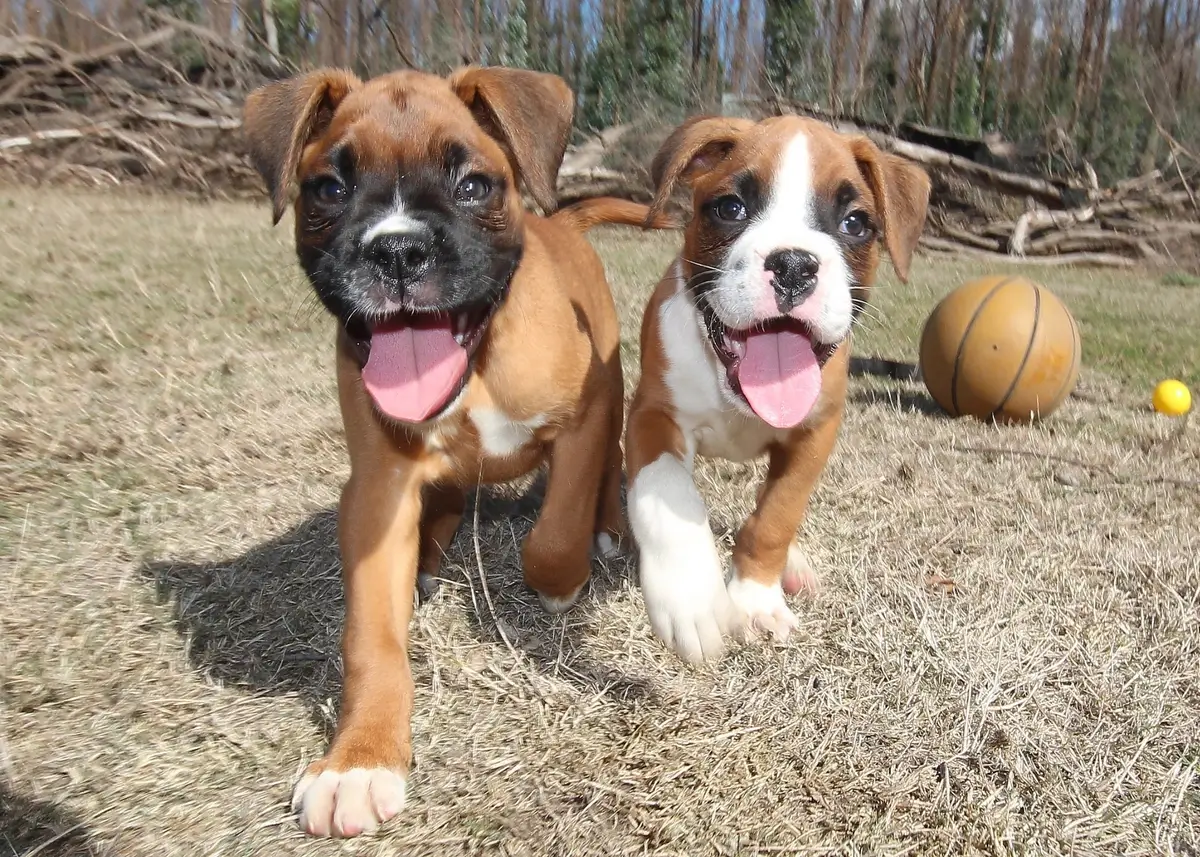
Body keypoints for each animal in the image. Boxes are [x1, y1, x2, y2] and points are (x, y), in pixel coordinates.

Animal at [242, 65, 672, 835]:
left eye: (473, 184)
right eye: (329, 188)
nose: (396, 250)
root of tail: (560, 221)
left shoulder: (585, 420)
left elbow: (553, 533)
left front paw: (562, 584)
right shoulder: (378, 491)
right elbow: (371, 640)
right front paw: (360, 760)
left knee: (600, 486)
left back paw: (605, 533)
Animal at [624, 113, 931, 662]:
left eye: (856, 223)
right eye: (730, 208)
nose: (793, 265)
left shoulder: (815, 434)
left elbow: (775, 516)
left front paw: (754, 601)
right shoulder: (653, 415)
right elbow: (667, 492)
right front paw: (690, 595)